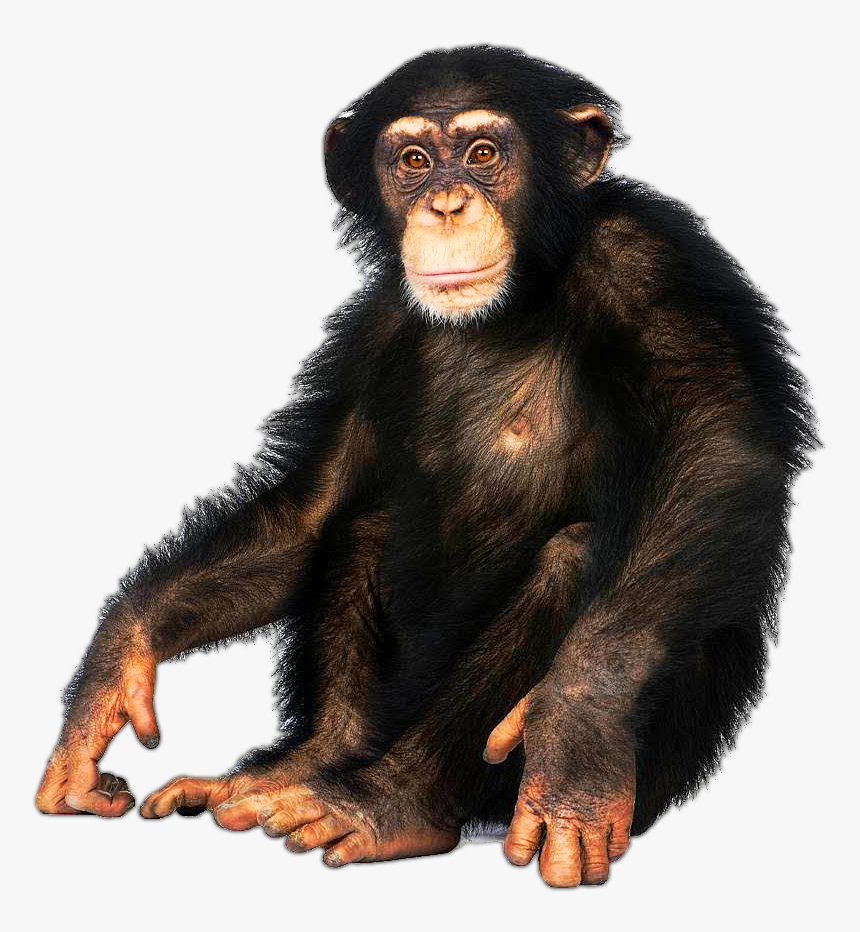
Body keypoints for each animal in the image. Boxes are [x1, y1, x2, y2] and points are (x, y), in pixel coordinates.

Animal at [36, 46, 816, 887]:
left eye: (483, 153)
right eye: (412, 160)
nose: (445, 203)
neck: (520, 295)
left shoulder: (649, 263)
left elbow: (717, 444)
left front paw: (575, 727)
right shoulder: (374, 325)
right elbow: (311, 510)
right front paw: (114, 665)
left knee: (574, 558)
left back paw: (388, 803)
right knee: (360, 527)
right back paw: (302, 768)